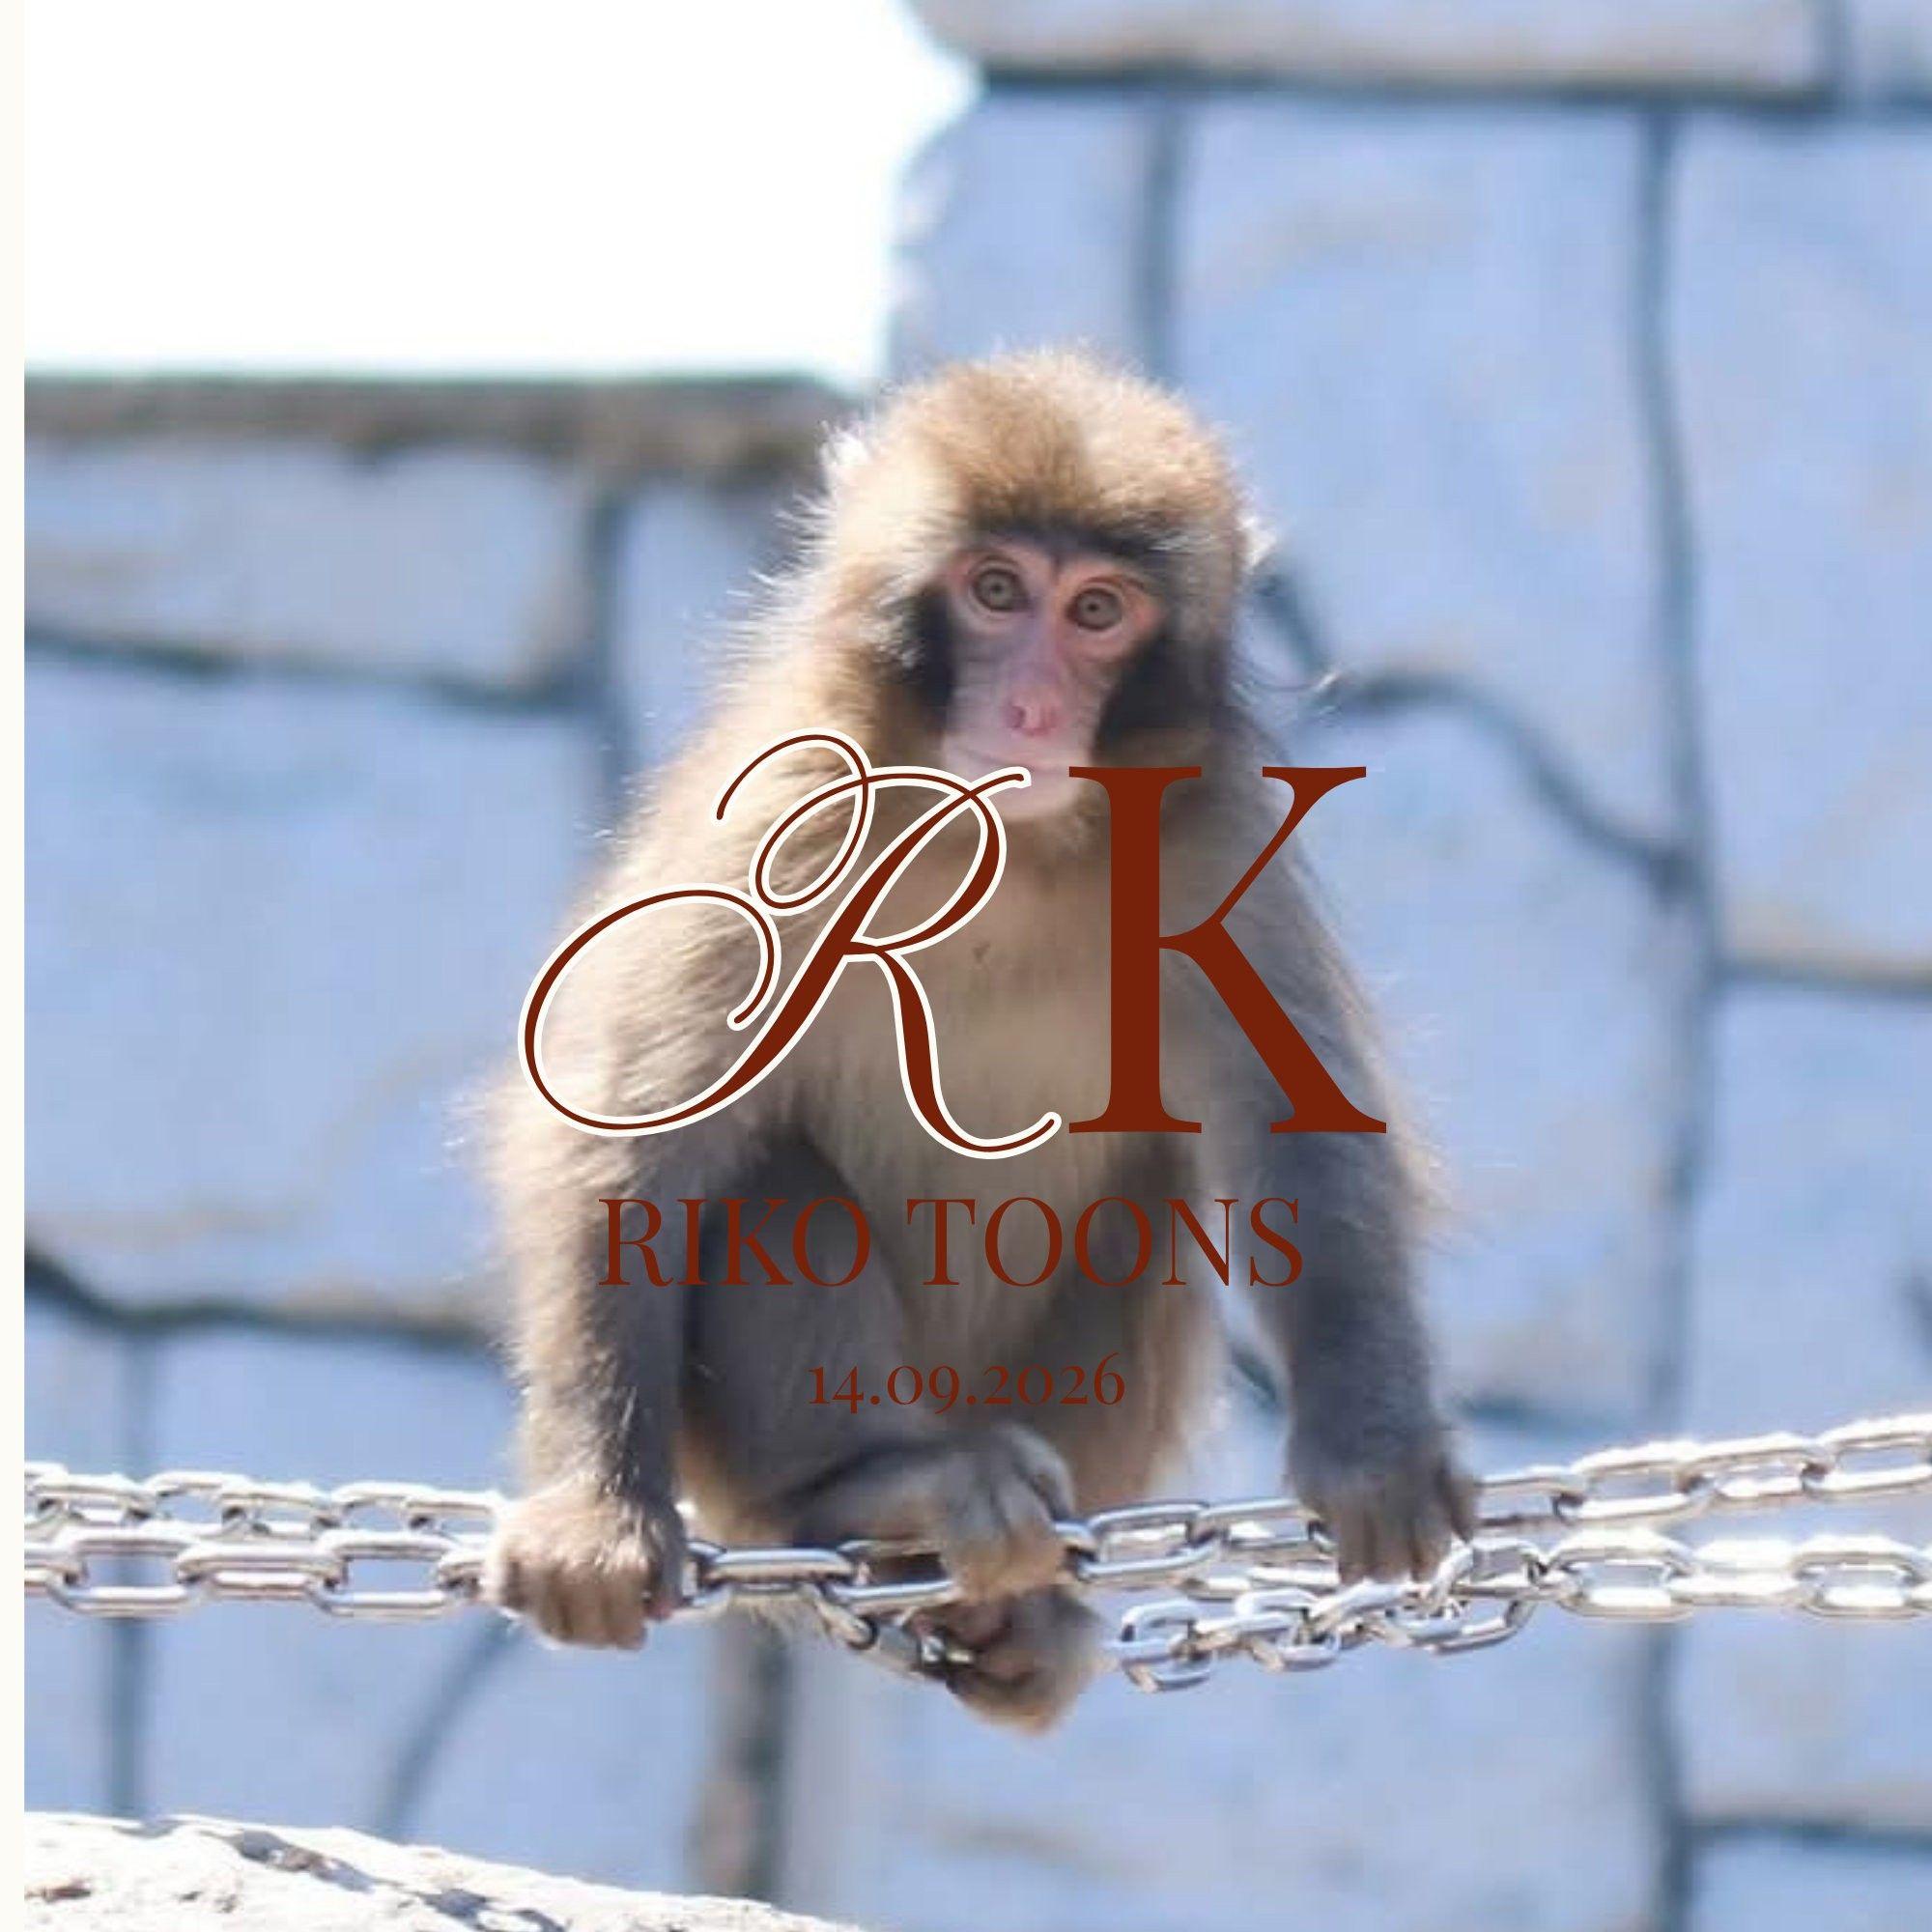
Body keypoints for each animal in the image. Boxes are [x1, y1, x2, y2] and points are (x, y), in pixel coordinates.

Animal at [483, 349, 1475, 1729]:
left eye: (1098, 610)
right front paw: (590, 1513)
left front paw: (1370, 1441)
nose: (1031, 704)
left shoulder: (1212, 835)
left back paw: (1028, 1607)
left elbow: (1297, 1129)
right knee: (769, 1185)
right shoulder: (786, 809)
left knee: (1151, 1189)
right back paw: (871, 1486)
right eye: (995, 589)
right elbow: (636, 1127)